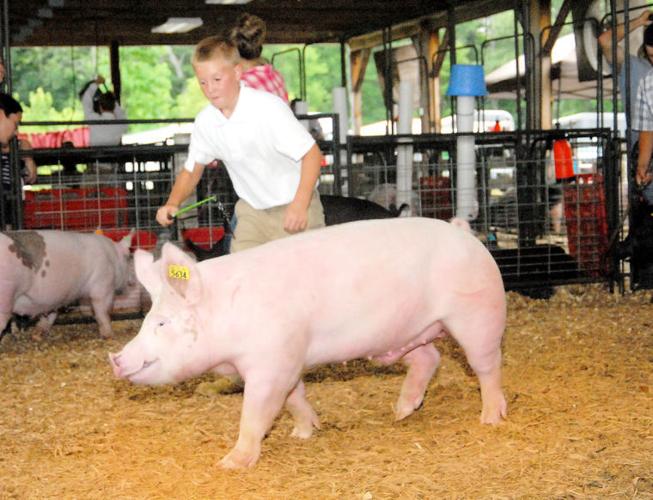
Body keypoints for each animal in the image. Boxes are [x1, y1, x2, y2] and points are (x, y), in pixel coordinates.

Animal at [0, 230, 133, 338]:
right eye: (129, 258)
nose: (132, 282)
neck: (113, 258)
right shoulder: (103, 284)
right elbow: (102, 311)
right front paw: (109, 335)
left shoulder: (58, 297)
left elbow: (52, 314)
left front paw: (39, 333)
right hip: (6, 296)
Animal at [109, 217, 507, 469]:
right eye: (146, 320)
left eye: (163, 322)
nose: (116, 358)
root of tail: (465, 233)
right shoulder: (289, 357)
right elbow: (294, 397)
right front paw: (304, 432)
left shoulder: (272, 362)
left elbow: (256, 411)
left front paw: (229, 463)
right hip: (405, 334)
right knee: (429, 358)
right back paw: (401, 412)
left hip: (477, 314)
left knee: (486, 366)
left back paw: (490, 418)